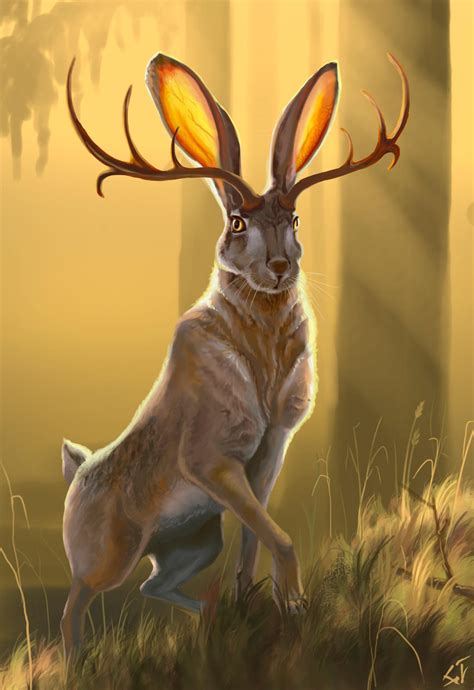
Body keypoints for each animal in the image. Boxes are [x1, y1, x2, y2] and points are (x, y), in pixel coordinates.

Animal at [61, 51, 409, 656]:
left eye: (294, 221)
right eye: (237, 223)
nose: (280, 266)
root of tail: (76, 474)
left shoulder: (268, 452)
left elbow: (256, 530)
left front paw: (255, 602)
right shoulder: (210, 458)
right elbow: (280, 535)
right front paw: (296, 605)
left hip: (196, 542)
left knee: (154, 585)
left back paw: (209, 610)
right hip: (109, 555)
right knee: (76, 603)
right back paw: (75, 660)